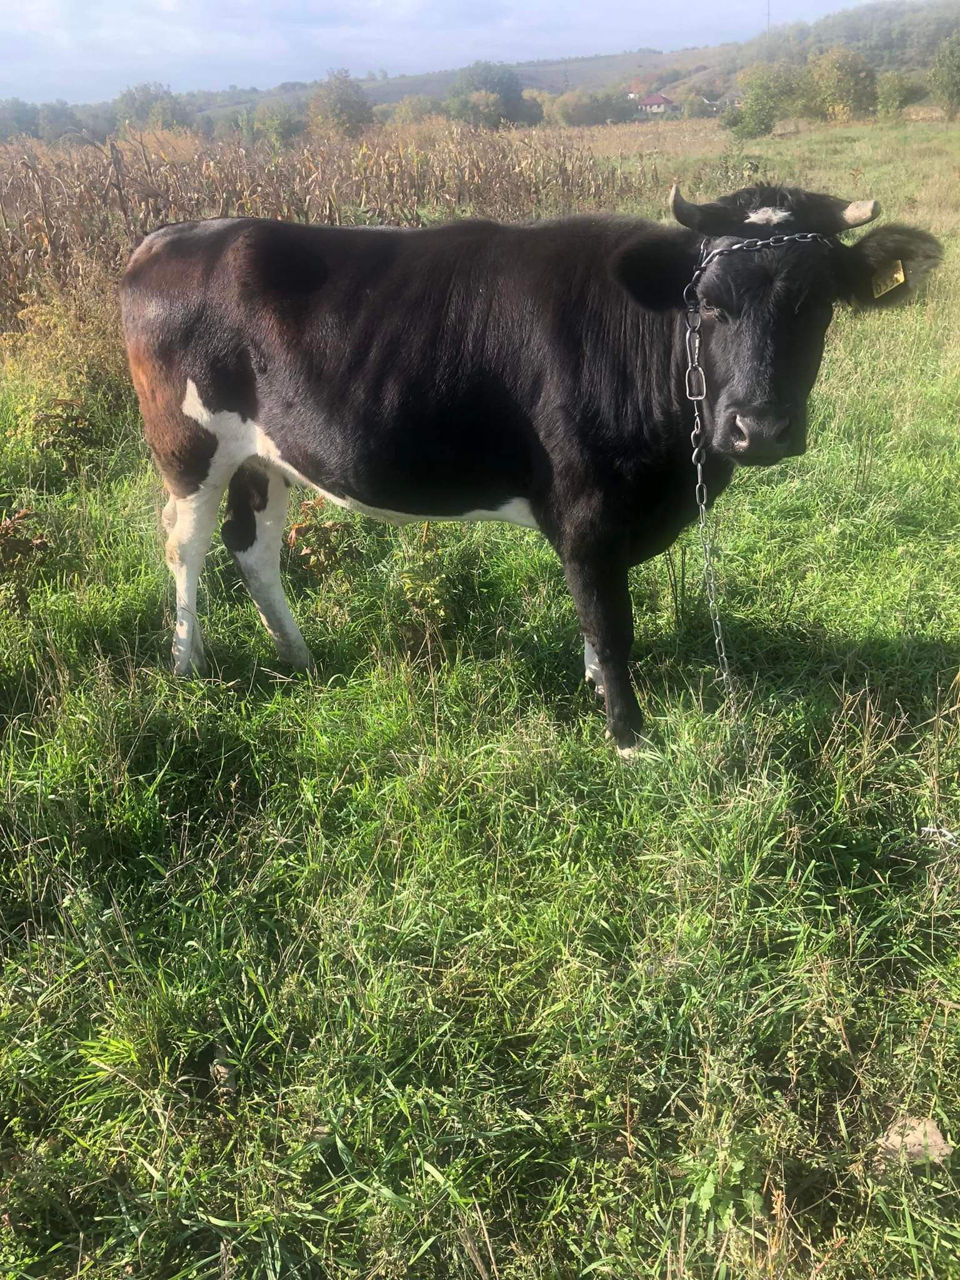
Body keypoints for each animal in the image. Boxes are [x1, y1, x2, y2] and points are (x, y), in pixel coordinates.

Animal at [120, 184, 941, 754]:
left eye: (820, 302)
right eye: (707, 302)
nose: (759, 428)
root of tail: (173, 235)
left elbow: (595, 620)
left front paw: (595, 688)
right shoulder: (586, 511)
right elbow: (611, 621)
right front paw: (629, 736)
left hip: (267, 454)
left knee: (253, 544)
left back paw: (298, 656)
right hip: (187, 446)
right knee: (185, 543)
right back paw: (188, 664)